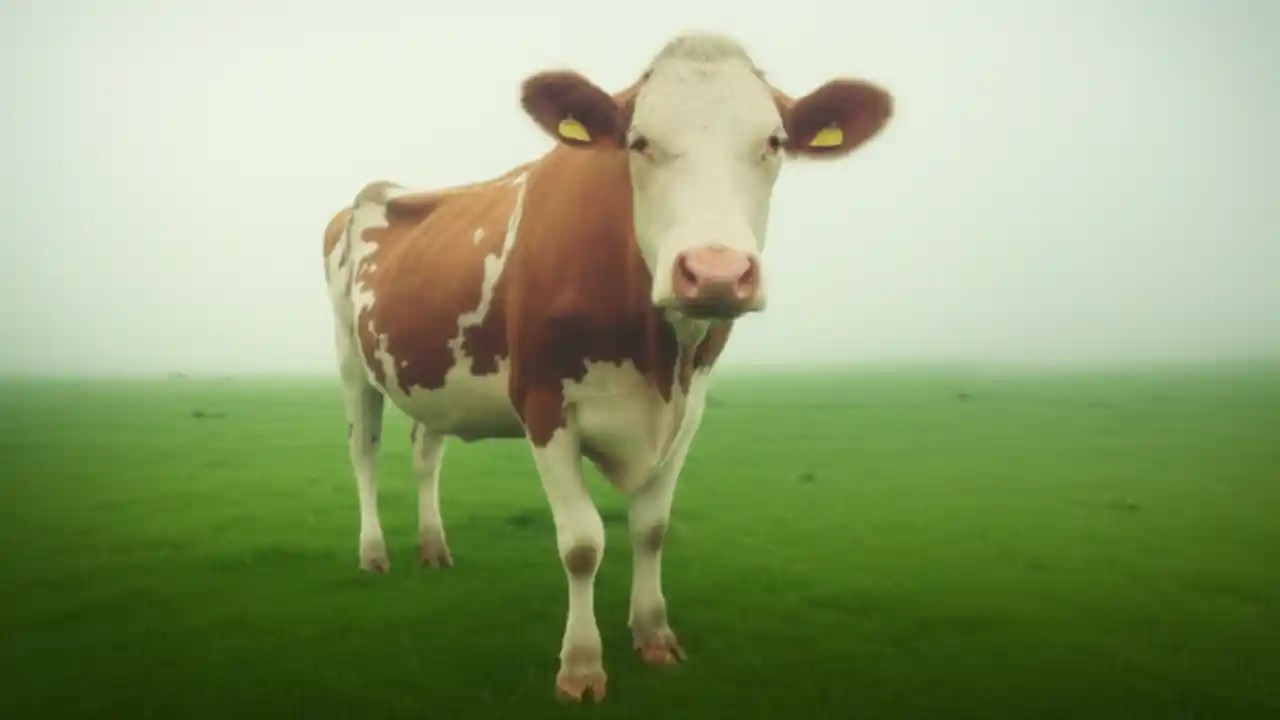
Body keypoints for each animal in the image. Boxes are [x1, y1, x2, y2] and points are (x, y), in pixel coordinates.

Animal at [320, 33, 892, 702]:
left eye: (773, 142)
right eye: (638, 141)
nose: (716, 272)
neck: (655, 356)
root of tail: (376, 191)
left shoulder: (689, 407)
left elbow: (651, 527)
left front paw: (654, 634)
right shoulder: (544, 404)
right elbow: (582, 543)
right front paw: (581, 666)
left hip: (433, 377)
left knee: (424, 449)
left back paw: (433, 547)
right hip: (351, 358)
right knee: (364, 451)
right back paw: (374, 552)